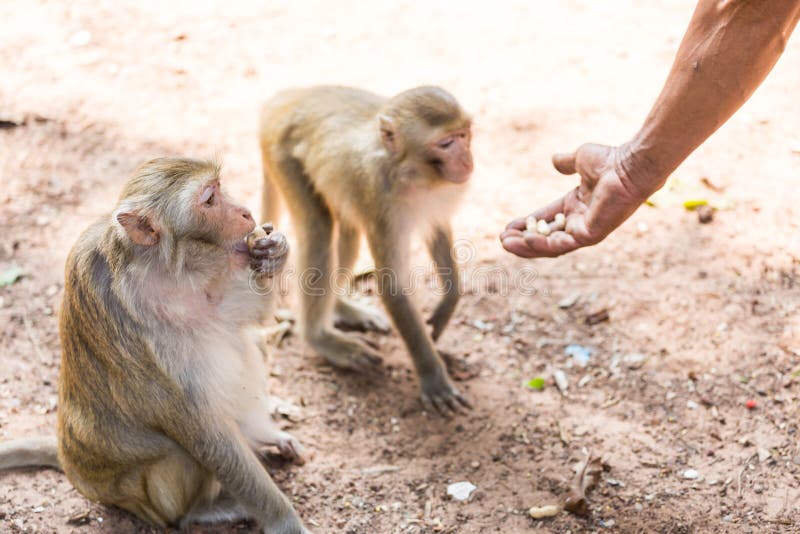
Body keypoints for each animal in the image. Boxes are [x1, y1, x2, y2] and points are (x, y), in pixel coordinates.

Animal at [0, 158, 310, 534]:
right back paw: (204, 510)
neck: (163, 273)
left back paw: (263, 434)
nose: (246, 212)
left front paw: (275, 250)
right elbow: (205, 434)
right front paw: (285, 521)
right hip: (151, 500)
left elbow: (242, 314)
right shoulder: (137, 339)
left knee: (238, 340)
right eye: (210, 199)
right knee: (177, 460)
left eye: (220, 189)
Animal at [259, 86, 474, 415]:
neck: (407, 173)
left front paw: (445, 306)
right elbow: (393, 285)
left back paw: (341, 308)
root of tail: (284, 99)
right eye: (445, 143)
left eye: (463, 135)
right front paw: (433, 376)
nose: (467, 160)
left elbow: (437, 229)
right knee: (319, 229)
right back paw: (321, 339)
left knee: (347, 234)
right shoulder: (379, 198)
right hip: (283, 156)